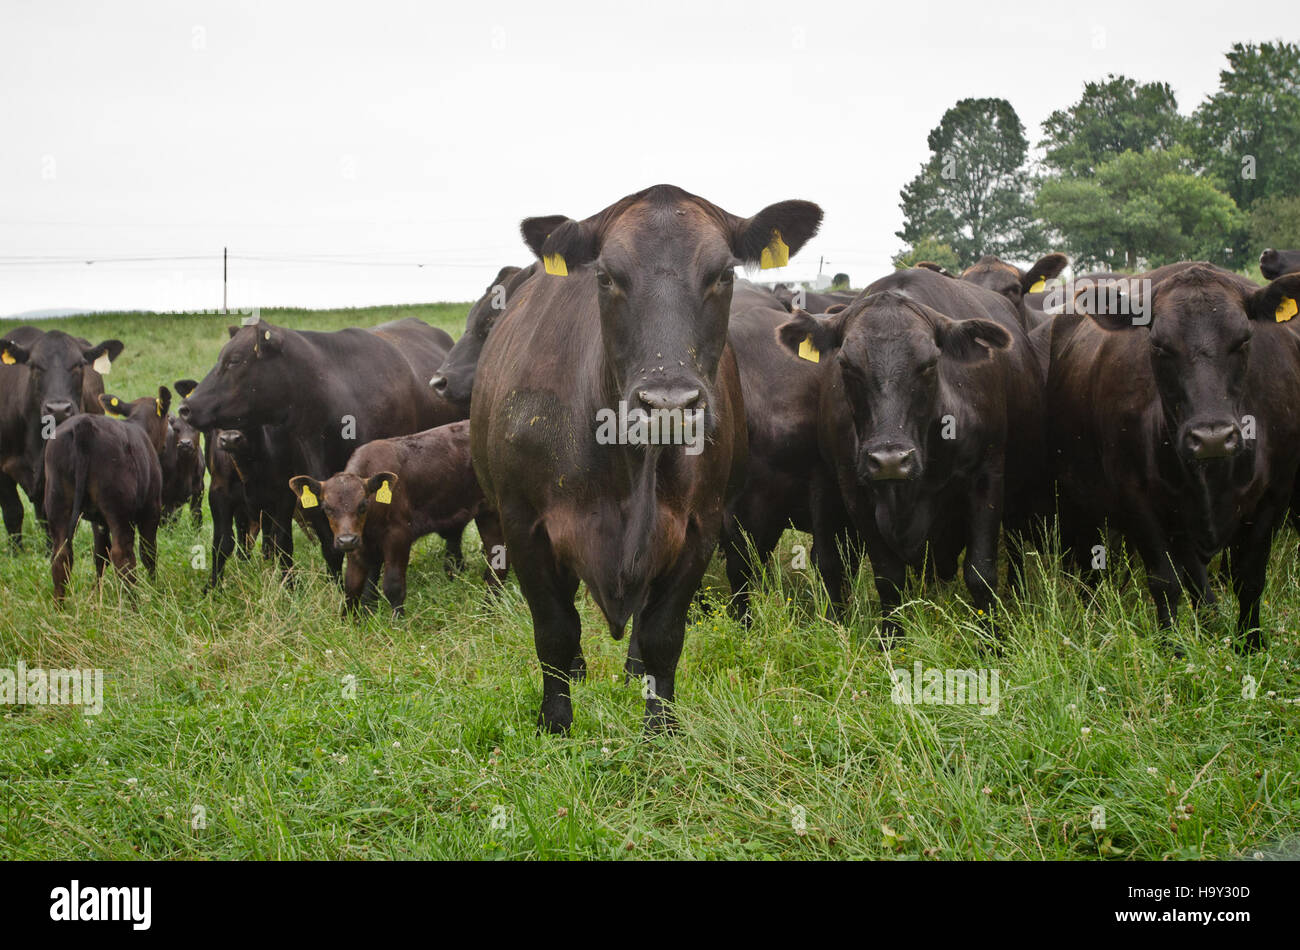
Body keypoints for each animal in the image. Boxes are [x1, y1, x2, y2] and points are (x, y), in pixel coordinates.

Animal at [43, 387, 170, 601]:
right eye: (168, 417)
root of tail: (84, 425)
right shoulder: (151, 509)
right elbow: (148, 552)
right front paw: (155, 587)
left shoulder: (98, 520)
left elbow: (100, 555)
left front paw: (97, 594)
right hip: (119, 511)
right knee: (124, 557)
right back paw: (133, 604)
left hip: (58, 502)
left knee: (61, 556)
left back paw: (59, 606)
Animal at [288, 420, 506, 617]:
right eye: (327, 507)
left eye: (363, 504)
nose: (347, 540)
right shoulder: (358, 546)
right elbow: (352, 587)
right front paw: (349, 622)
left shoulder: (398, 536)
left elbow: (392, 584)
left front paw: (398, 622)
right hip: (486, 515)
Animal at [472, 184, 821, 733]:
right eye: (606, 276)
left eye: (723, 275)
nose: (669, 402)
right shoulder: (522, 521)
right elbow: (554, 631)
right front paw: (556, 723)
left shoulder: (699, 524)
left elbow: (663, 635)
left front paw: (661, 730)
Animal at [776, 267, 1047, 641]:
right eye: (846, 364)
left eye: (930, 363)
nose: (891, 460)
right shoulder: (854, 487)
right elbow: (887, 576)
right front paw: (891, 639)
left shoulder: (987, 474)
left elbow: (981, 573)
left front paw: (991, 640)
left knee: (1019, 548)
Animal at [1049, 263, 1300, 648]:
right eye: (1159, 345)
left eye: (1244, 339)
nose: (1212, 438)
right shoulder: (1136, 498)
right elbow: (1165, 581)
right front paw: (1172, 650)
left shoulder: (1274, 495)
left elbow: (1250, 577)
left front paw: (1250, 644)